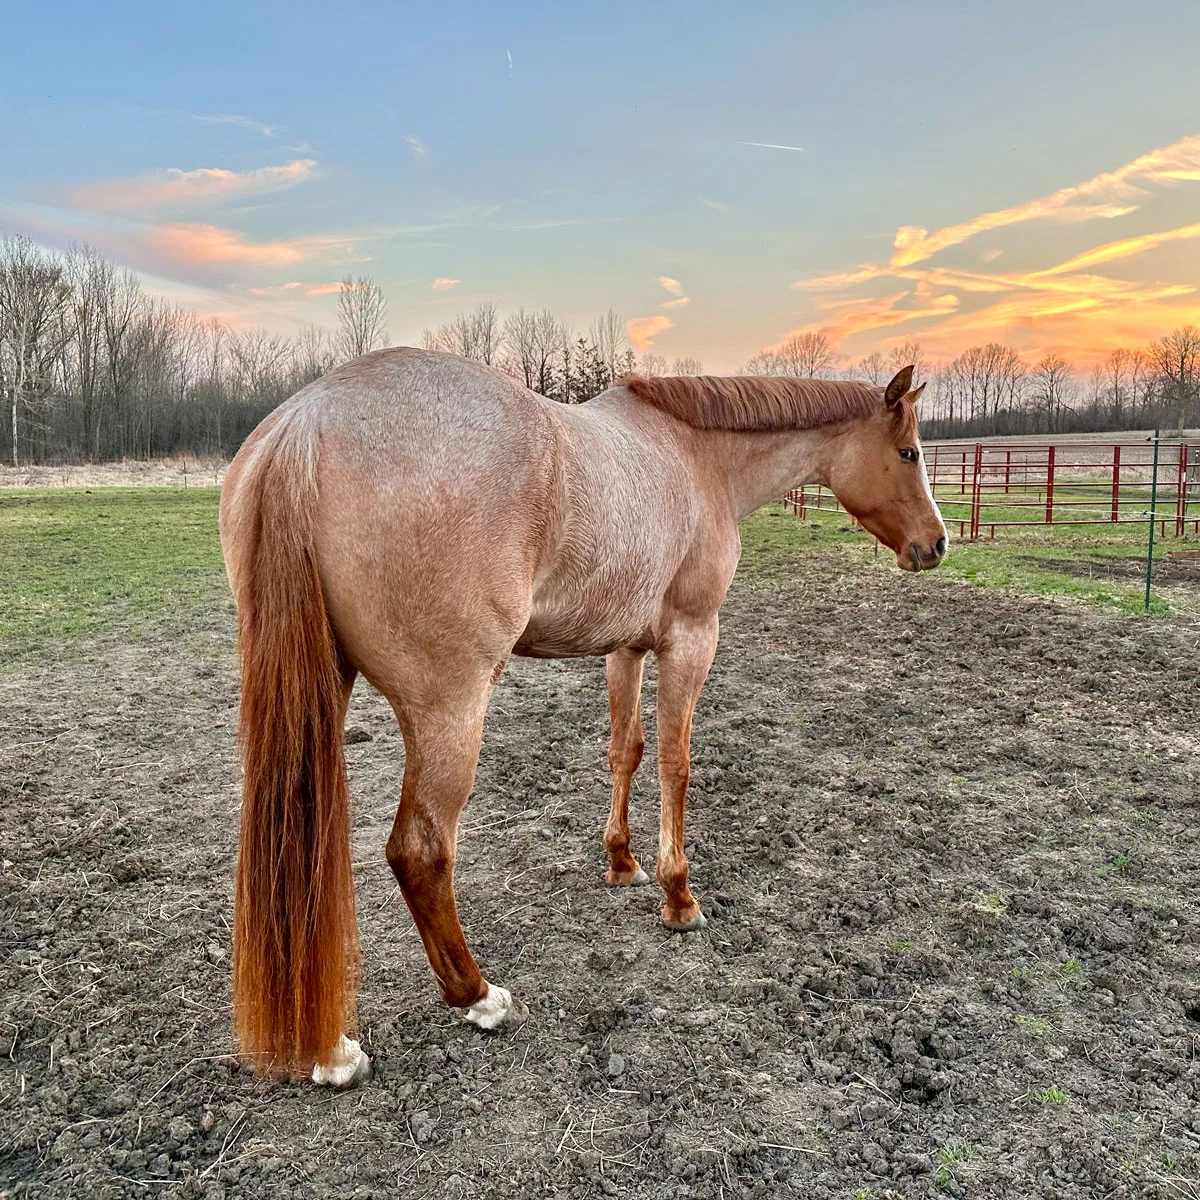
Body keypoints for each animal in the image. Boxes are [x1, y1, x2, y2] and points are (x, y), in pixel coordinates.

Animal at [218, 348, 946, 1087]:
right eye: (909, 452)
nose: (936, 544)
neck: (696, 452)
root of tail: (307, 426)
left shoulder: (625, 647)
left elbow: (627, 749)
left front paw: (622, 861)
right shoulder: (692, 639)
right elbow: (676, 763)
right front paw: (679, 898)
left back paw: (332, 1050)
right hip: (450, 710)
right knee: (419, 851)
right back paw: (478, 997)